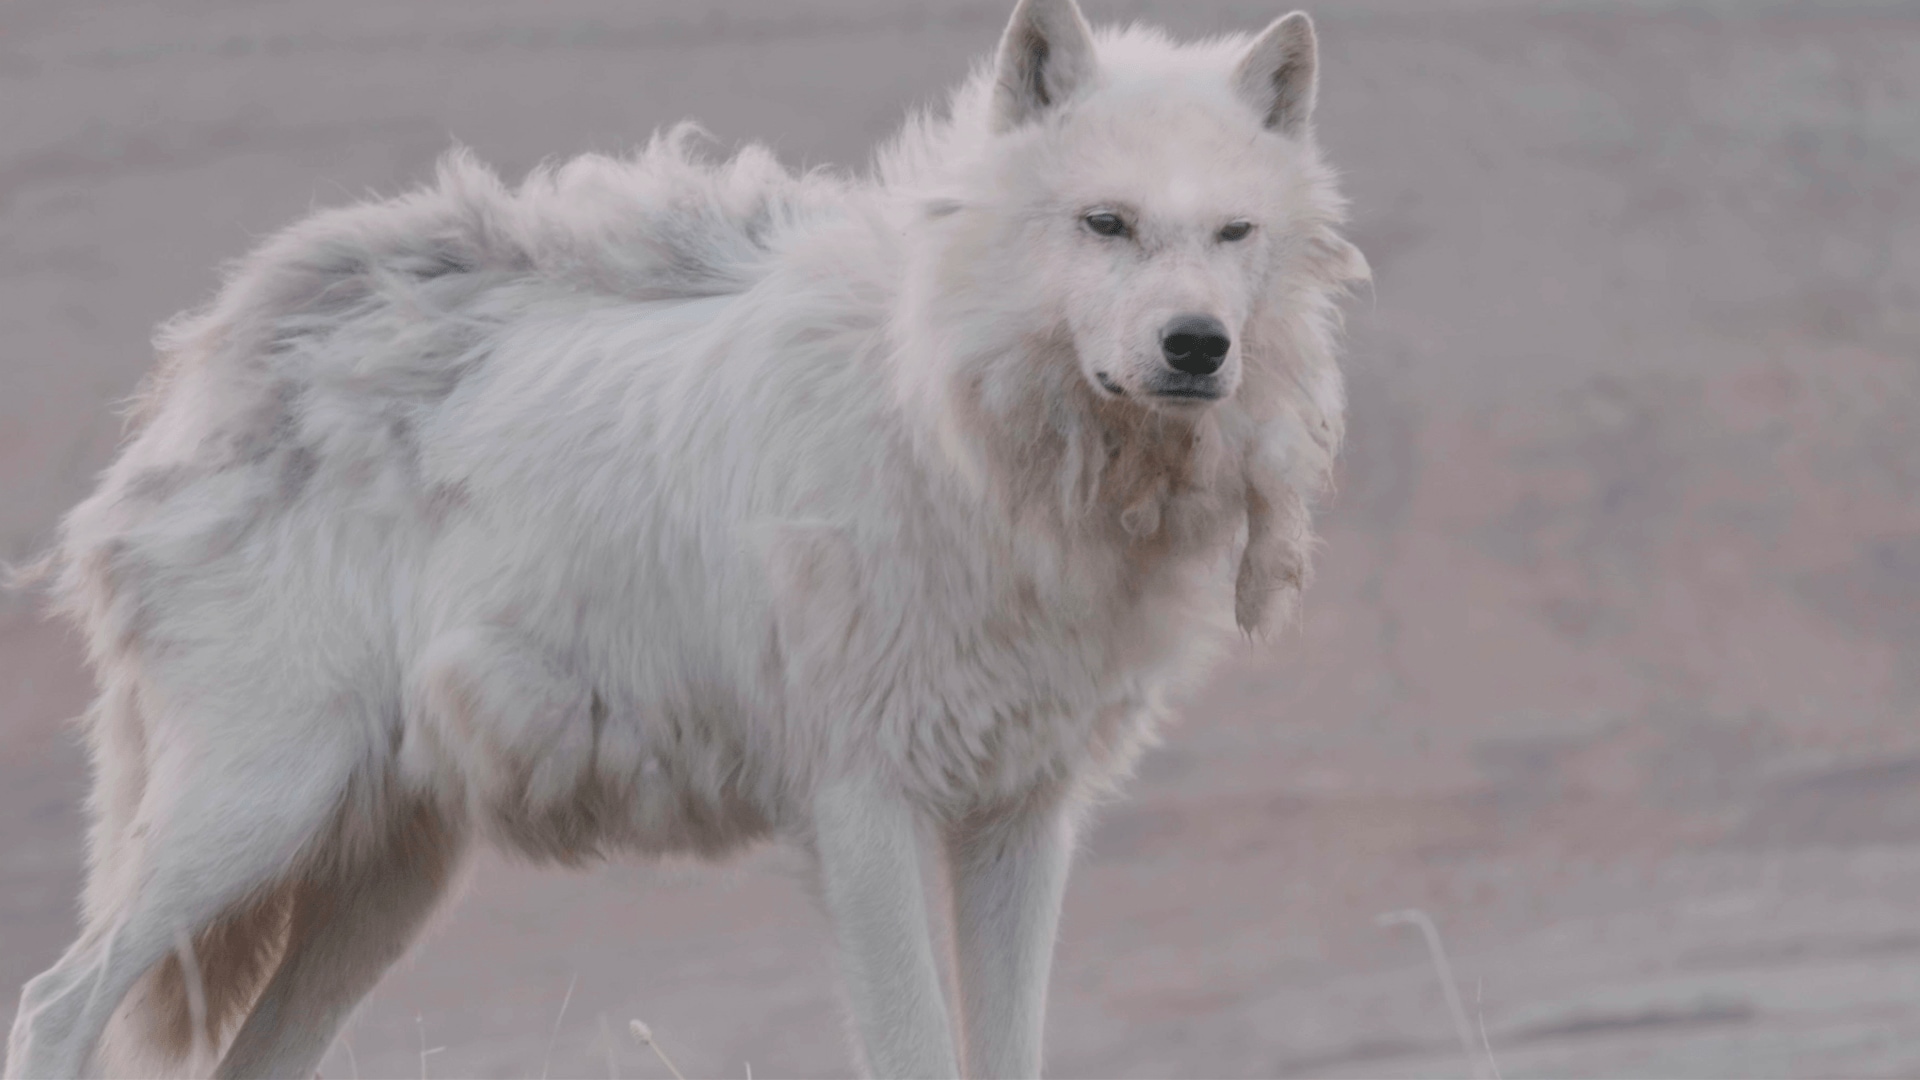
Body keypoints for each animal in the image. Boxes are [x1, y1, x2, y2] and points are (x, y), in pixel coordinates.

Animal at [5, 0, 1365, 1076]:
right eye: (1106, 223)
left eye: (1235, 233)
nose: (1198, 347)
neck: (952, 426)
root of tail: (216, 349)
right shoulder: (862, 808)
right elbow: (914, 1048)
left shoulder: (1022, 821)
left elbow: (1009, 1052)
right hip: (253, 810)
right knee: (54, 1004)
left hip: (385, 880)